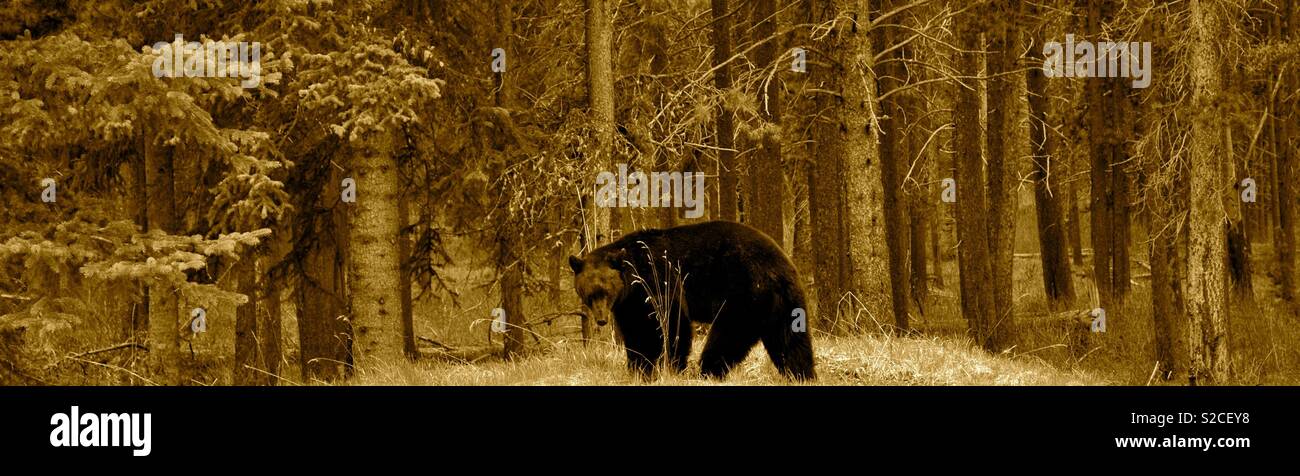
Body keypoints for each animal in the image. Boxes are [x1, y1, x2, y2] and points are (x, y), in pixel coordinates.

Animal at [568, 220, 815, 380]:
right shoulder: (630, 303)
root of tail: (782, 267)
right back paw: (802, 375)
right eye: (589, 293)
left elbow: (670, 324)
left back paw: (706, 371)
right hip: (783, 305)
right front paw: (638, 368)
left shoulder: (658, 280)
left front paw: (671, 368)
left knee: (727, 336)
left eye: (606, 291)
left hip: (744, 294)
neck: (632, 277)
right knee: (790, 340)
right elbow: (635, 331)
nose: (601, 320)